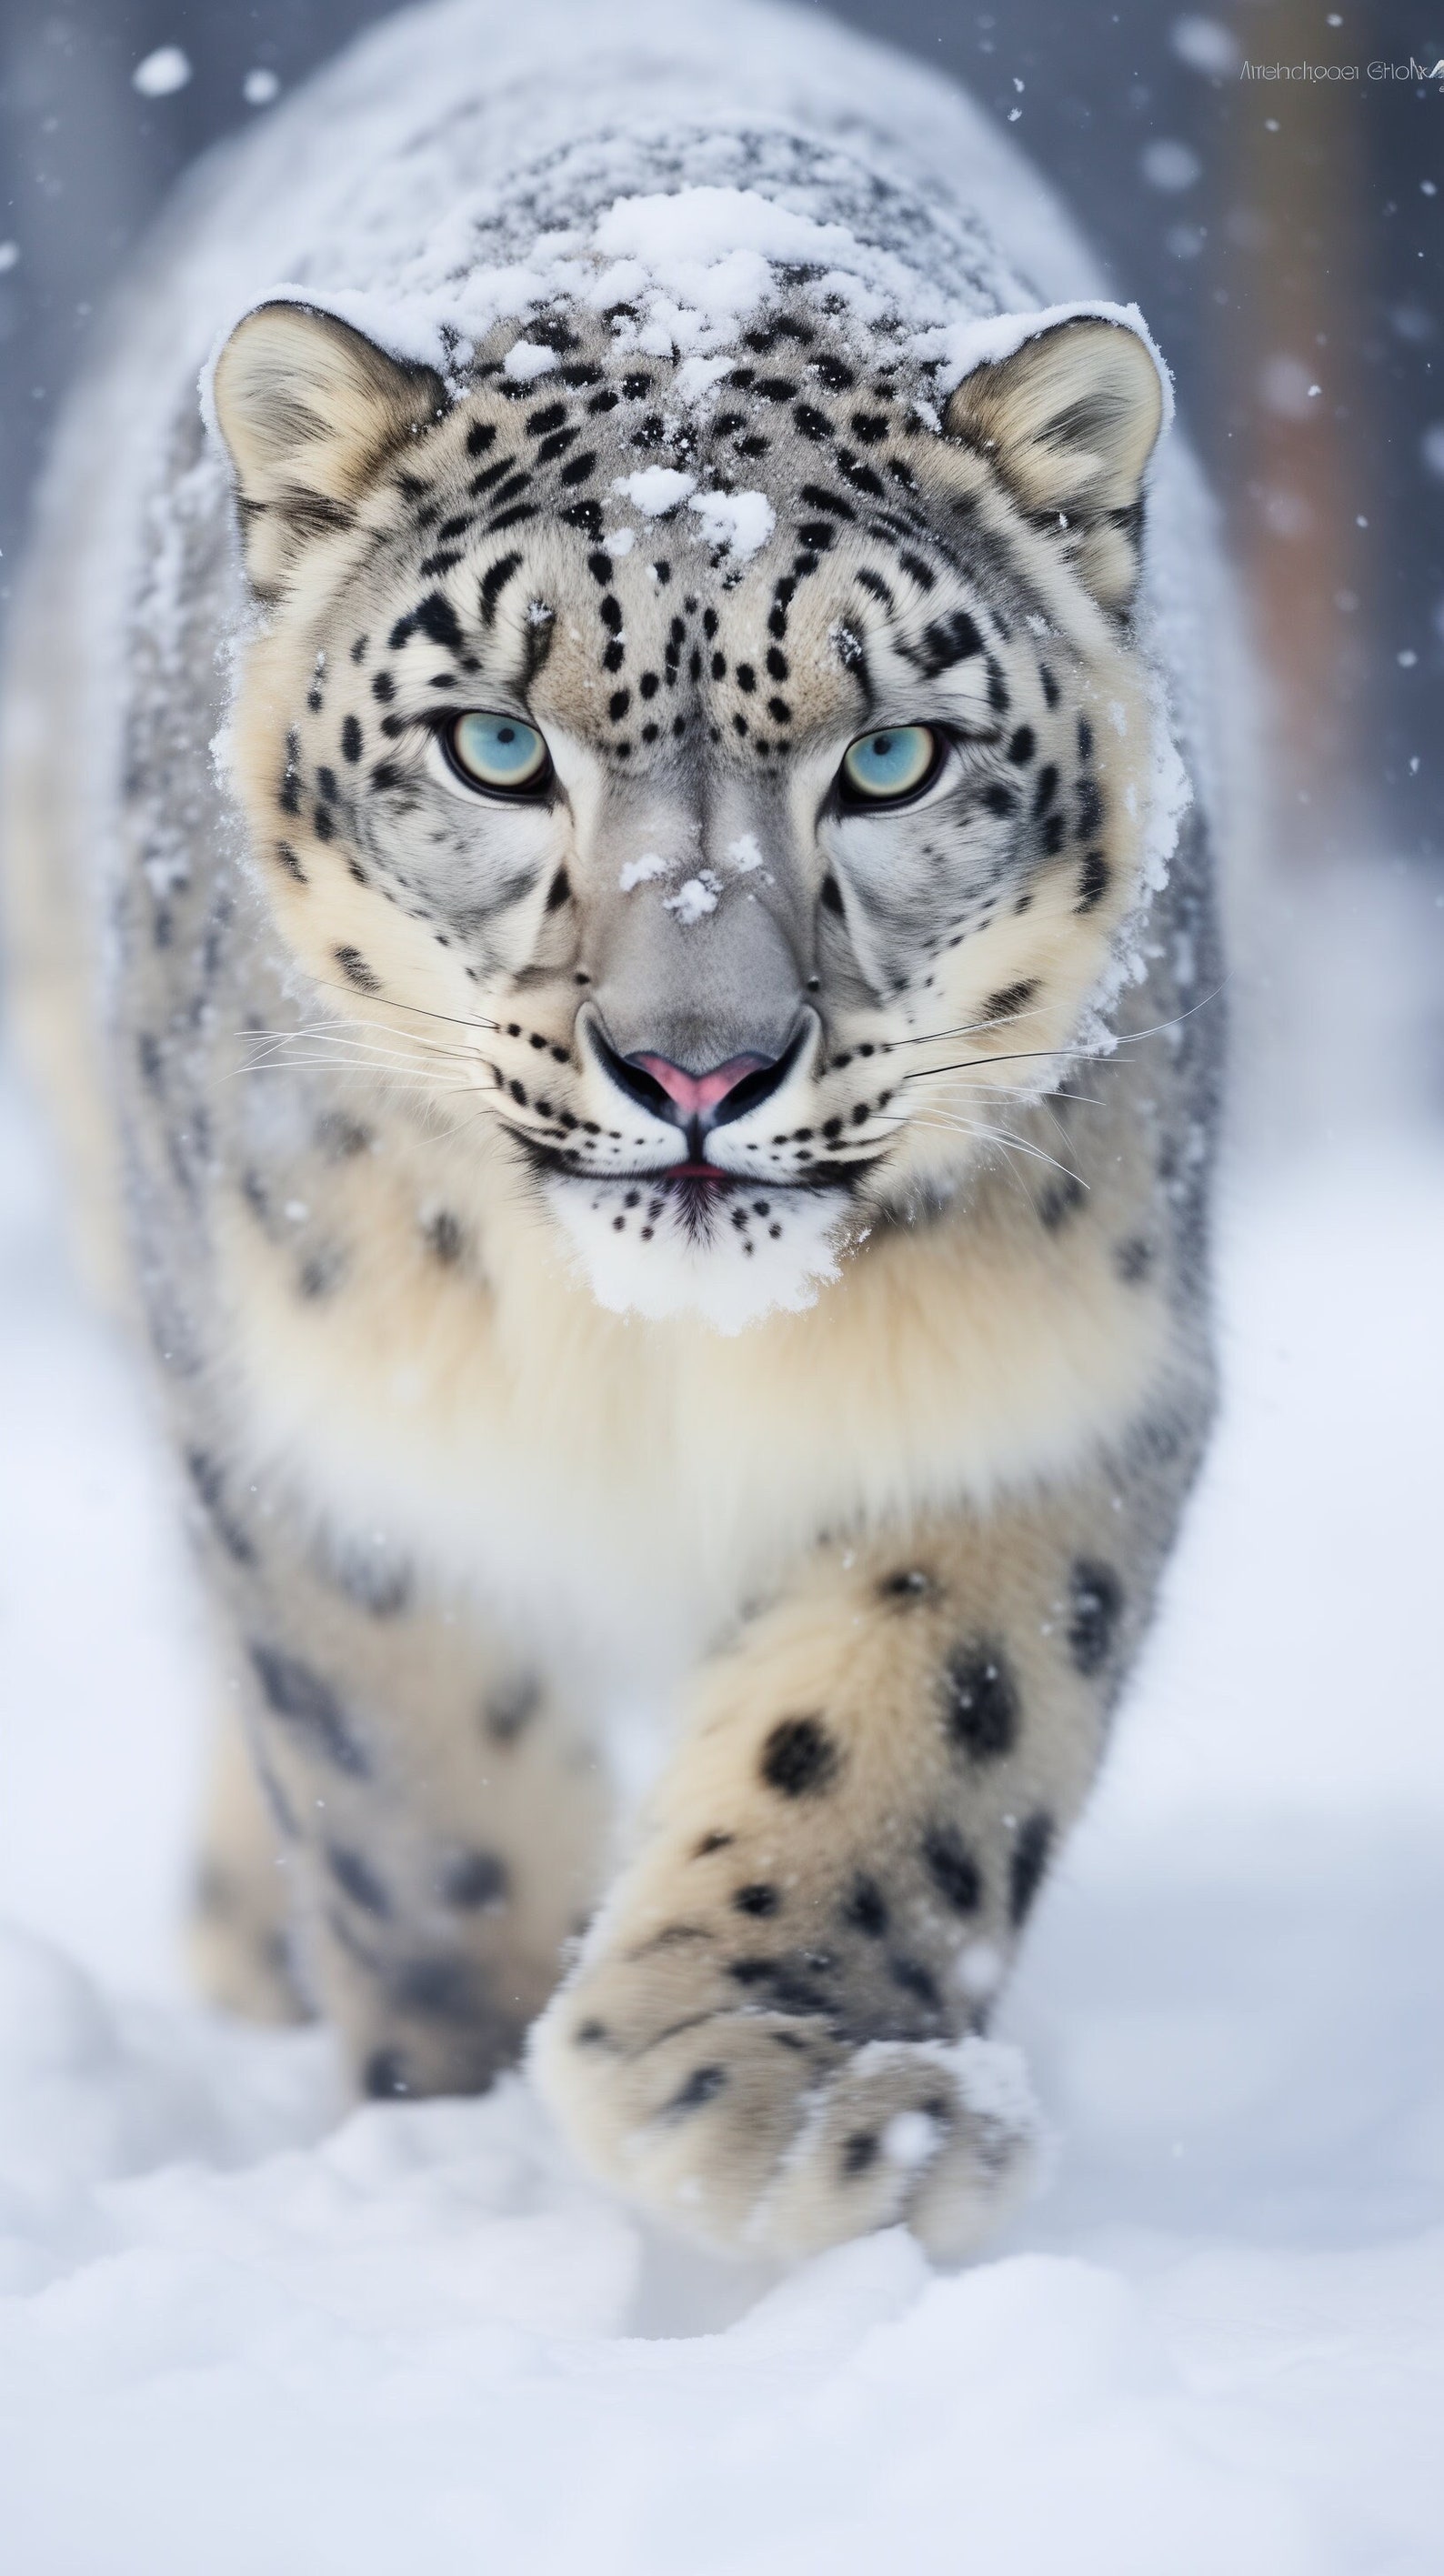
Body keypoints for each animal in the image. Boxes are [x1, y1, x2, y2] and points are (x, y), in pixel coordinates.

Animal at [0, 0, 1225, 2265]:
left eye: (889, 757)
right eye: (495, 743)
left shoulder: (1040, 1387)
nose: (696, 1068)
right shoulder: (323, 1421)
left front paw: (795, 2077)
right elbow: (414, 1780)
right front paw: (468, 2091)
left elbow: (926, 1712)